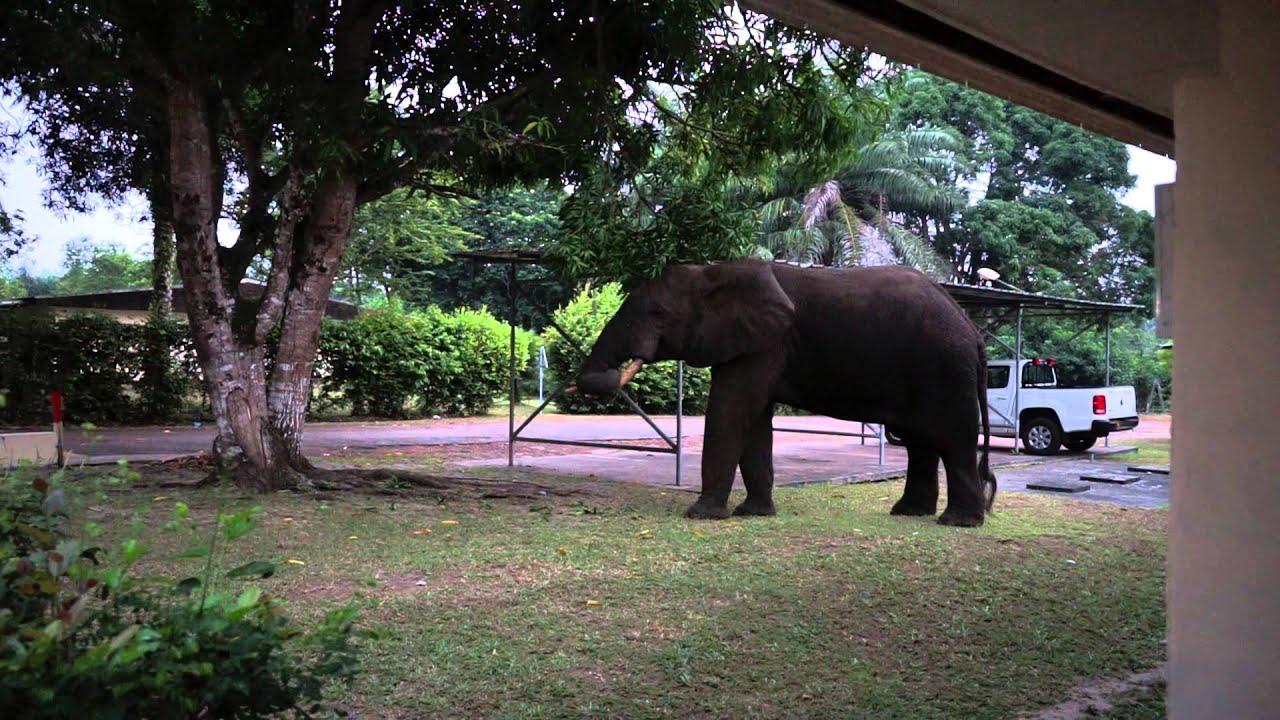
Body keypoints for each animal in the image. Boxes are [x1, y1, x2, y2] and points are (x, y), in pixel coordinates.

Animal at [572, 260, 998, 527]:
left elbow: (730, 411)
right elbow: (754, 421)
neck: (713, 271)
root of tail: (972, 330)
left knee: (952, 440)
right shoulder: (753, 345)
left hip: (946, 367)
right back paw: (909, 513)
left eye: (659, 314)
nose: (615, 371)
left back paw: (957, 523)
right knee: (919, 442)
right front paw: (753, 514)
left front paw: (700, 515)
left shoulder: (767, 342)